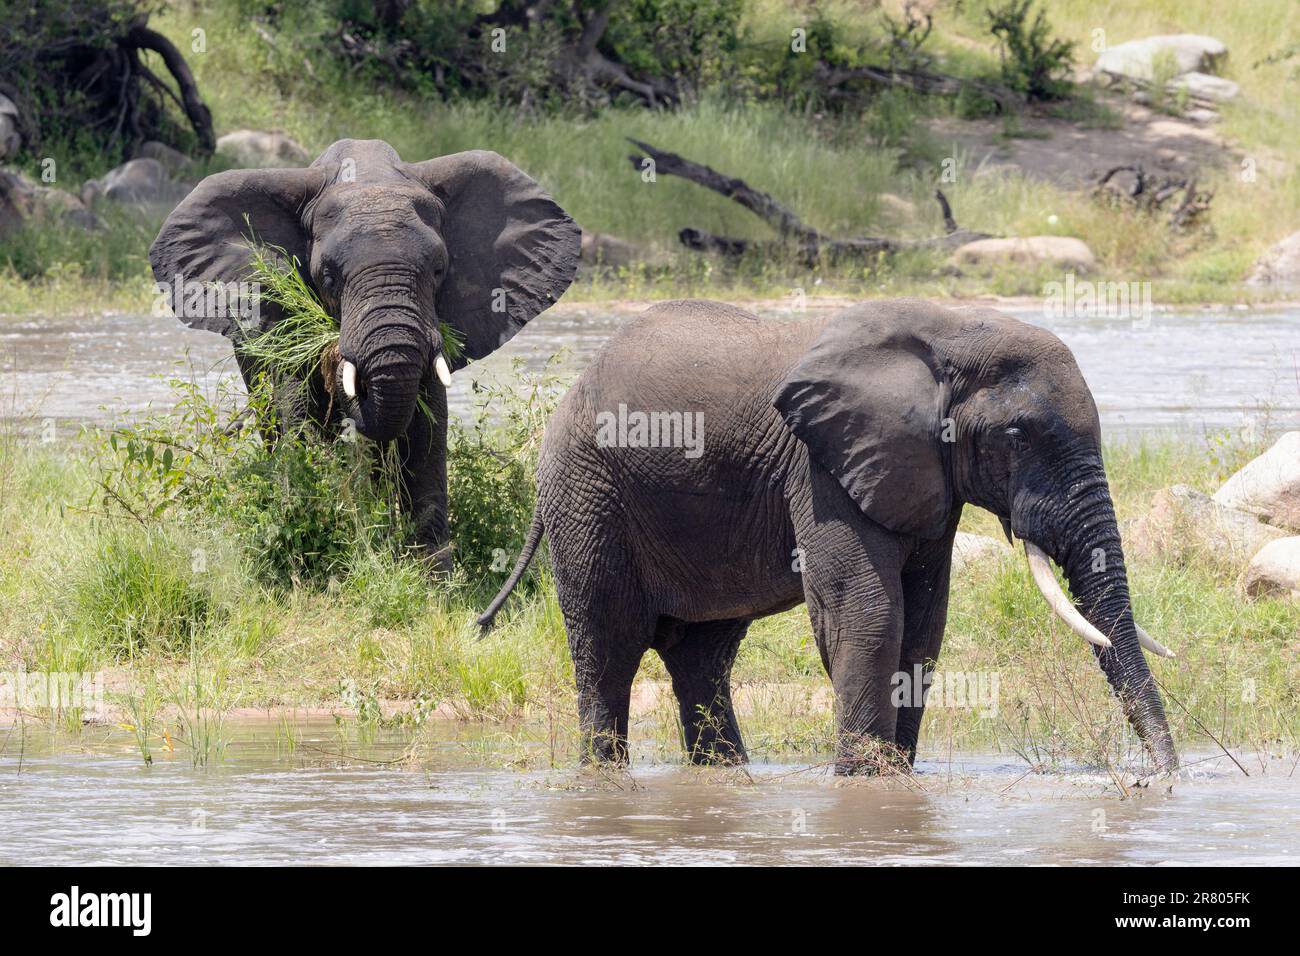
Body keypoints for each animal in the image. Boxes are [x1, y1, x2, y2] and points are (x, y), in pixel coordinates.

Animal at [480, 297, 1179, 774]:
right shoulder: (821, 466)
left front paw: (894, 776)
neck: (952, 330)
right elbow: (866, 610)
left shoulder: (921, 474)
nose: (1165, 778)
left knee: (702, 656)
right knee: (607, 647)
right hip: (586, 496)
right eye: (1017, 436)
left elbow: (924, 622)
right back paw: (605, 776)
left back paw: (725, 773)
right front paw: (865, 783)